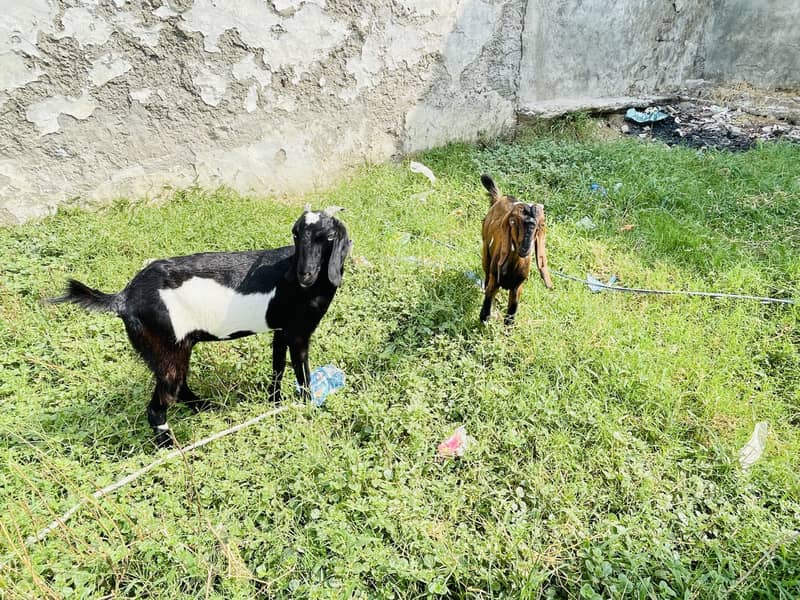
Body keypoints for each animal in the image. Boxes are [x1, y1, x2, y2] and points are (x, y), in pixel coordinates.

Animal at [49, 205, 352, 448]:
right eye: (296, 235)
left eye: (329, 237)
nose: (304, 275)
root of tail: (125, 298)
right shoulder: (299, 332)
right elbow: (302, 373)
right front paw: (308, 407)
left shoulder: (280, 328)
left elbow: (277, 366)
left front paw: (275, 404)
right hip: (166, 344)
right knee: (160, 404)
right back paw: (171, 448)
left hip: (171, 347)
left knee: (179, 386)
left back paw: (207, 407)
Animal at [479, 174, 553, 324]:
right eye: (513, 222)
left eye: (537, 226)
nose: (525, 247)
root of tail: (499, 198)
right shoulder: (495, 280)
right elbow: (487, 303)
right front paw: (485, 318)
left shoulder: (517, 287)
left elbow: (511, 315)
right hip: (485, 252)